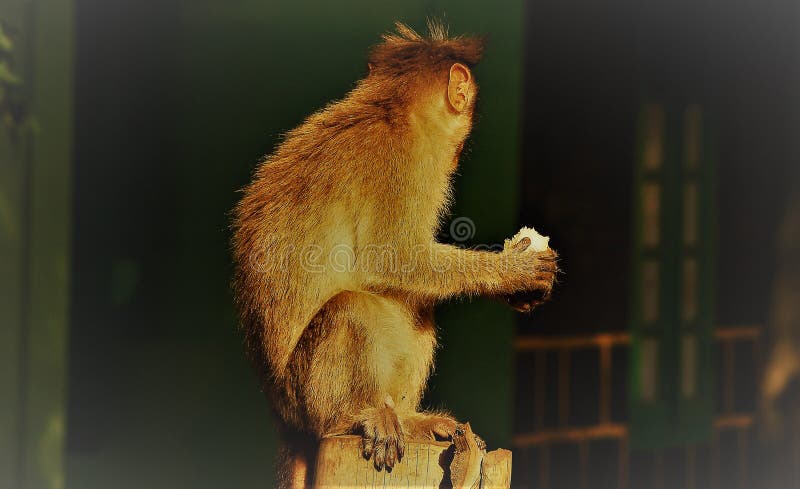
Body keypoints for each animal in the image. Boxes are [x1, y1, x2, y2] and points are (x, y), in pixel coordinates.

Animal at [231, 20, 557, 488]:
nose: (458, 153)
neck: (391, 109)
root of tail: (284, 419)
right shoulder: (402, 162)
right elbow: (391, 259)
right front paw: (512, 272)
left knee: (415, 308)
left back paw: (408, 417)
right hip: (304, 397)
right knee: (353, 308)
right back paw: (354, 415)